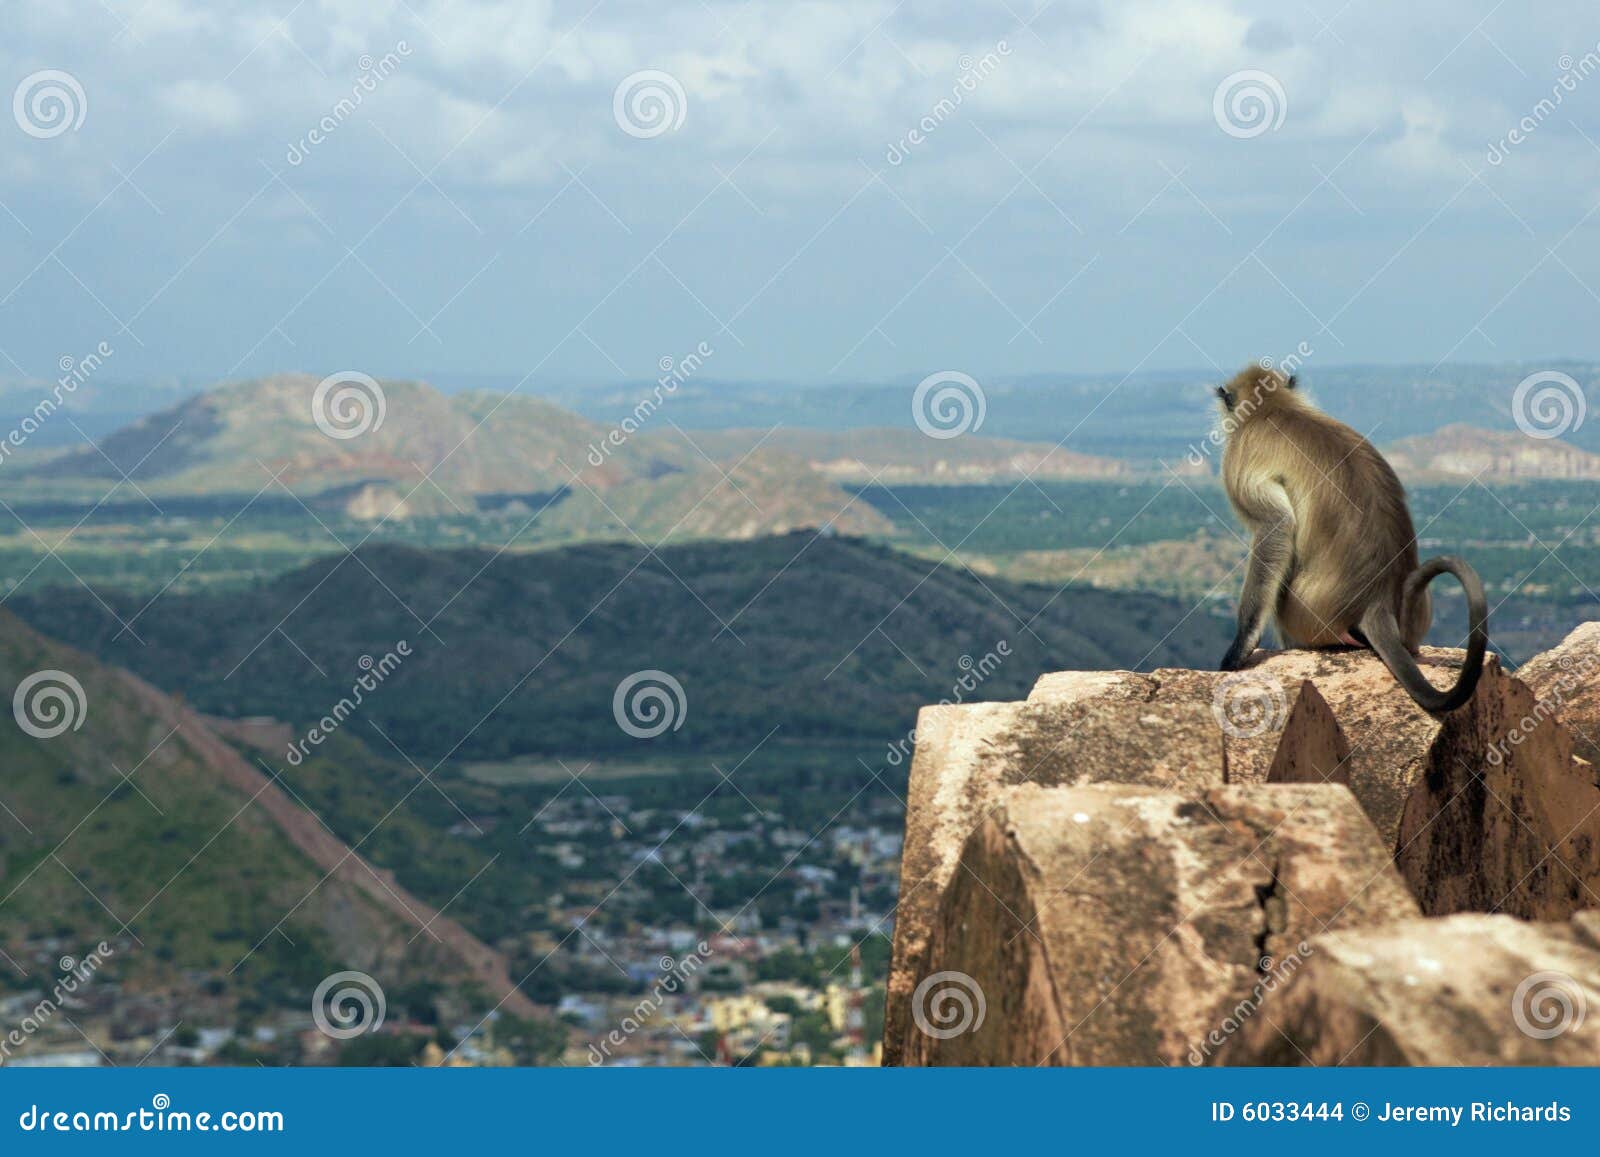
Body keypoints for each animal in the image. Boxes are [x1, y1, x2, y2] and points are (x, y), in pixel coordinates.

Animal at [1214, 363, 1488, 713]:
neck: (1276, 407)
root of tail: (1377, 600)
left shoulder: (1237, 458)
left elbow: (1276, 526)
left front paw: (1241, 646)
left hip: (1304, 616)